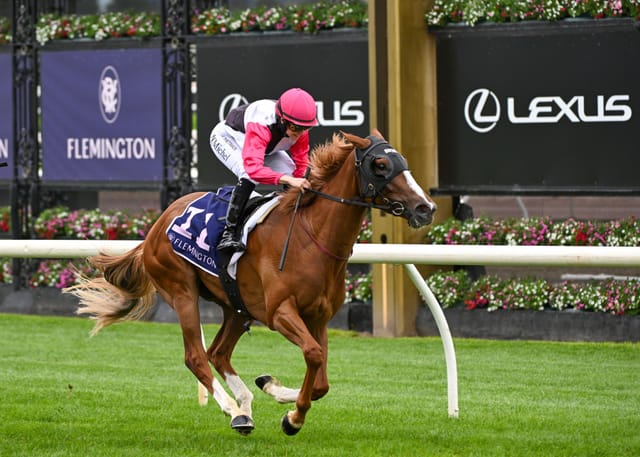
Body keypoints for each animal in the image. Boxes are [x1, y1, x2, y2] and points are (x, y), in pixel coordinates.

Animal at [65, 130, 437, 436]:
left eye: (402, 162)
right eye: (380, 164)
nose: (426, 207)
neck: (312, 238)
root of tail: (156, 226)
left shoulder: (318, 318)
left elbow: (321, 380)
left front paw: (277, 393)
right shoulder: (280, 313)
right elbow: (314, 356)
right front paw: (293, 419)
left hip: (237, 306)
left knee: (217, 353)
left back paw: (246, 403)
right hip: (181, 290)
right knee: (196, 356)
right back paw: (233, 410)